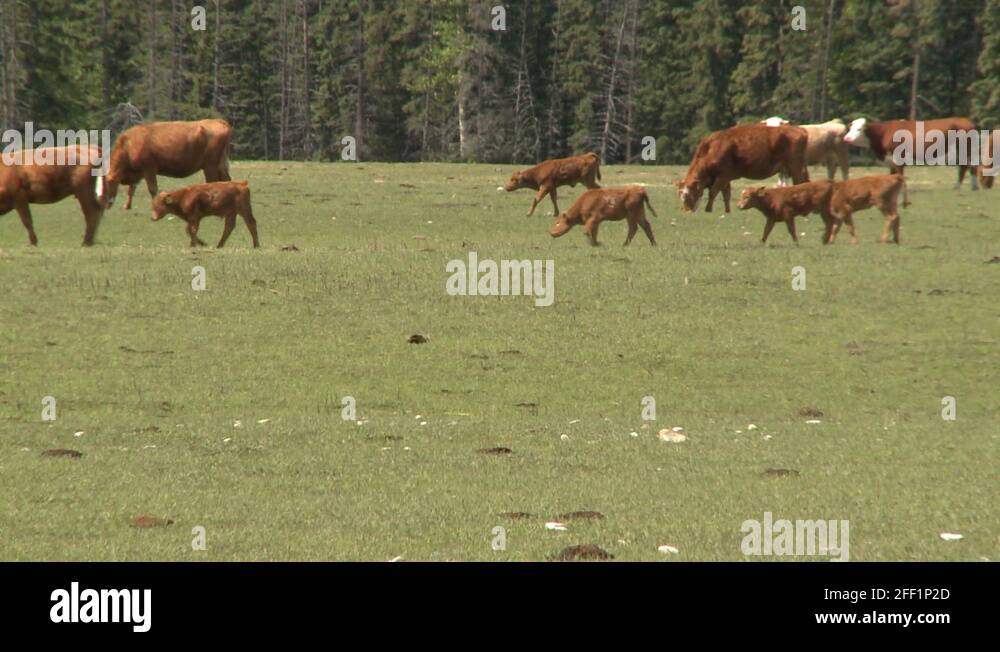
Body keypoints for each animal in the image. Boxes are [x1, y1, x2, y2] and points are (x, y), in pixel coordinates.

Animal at [101, 119, 233, 210]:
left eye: (107, 184)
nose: (104, 203)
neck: (128, 144)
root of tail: (218, 121)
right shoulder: (138, 172)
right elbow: (131, 189)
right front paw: (127, 206)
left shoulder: (149, 168)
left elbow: (153, 189)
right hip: (220, 165)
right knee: (226, 181)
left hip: (210, 166)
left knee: (214, 183)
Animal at [676, 124, 809, 214]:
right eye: (679, 193)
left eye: (688, 194)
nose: (687, 210)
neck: (712, 148)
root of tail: (799, 129)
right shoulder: (725, 178)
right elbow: (726, 194)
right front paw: (727, 211)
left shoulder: (723, 176)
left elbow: (713, 192)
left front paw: (708, 209)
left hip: (795, 167)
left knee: (800, 184)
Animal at [843, 117, 980, 202]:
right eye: (850, 128)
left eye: (859, 129)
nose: (846, 138)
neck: (883, 134)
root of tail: (966, 120)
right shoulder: (891, 161)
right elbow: (892, 177)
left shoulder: (899, 160)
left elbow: (900, 177)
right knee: (970, 167)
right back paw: (973, 187)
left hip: (965, 151)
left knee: (966, 167)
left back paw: (960, 186)